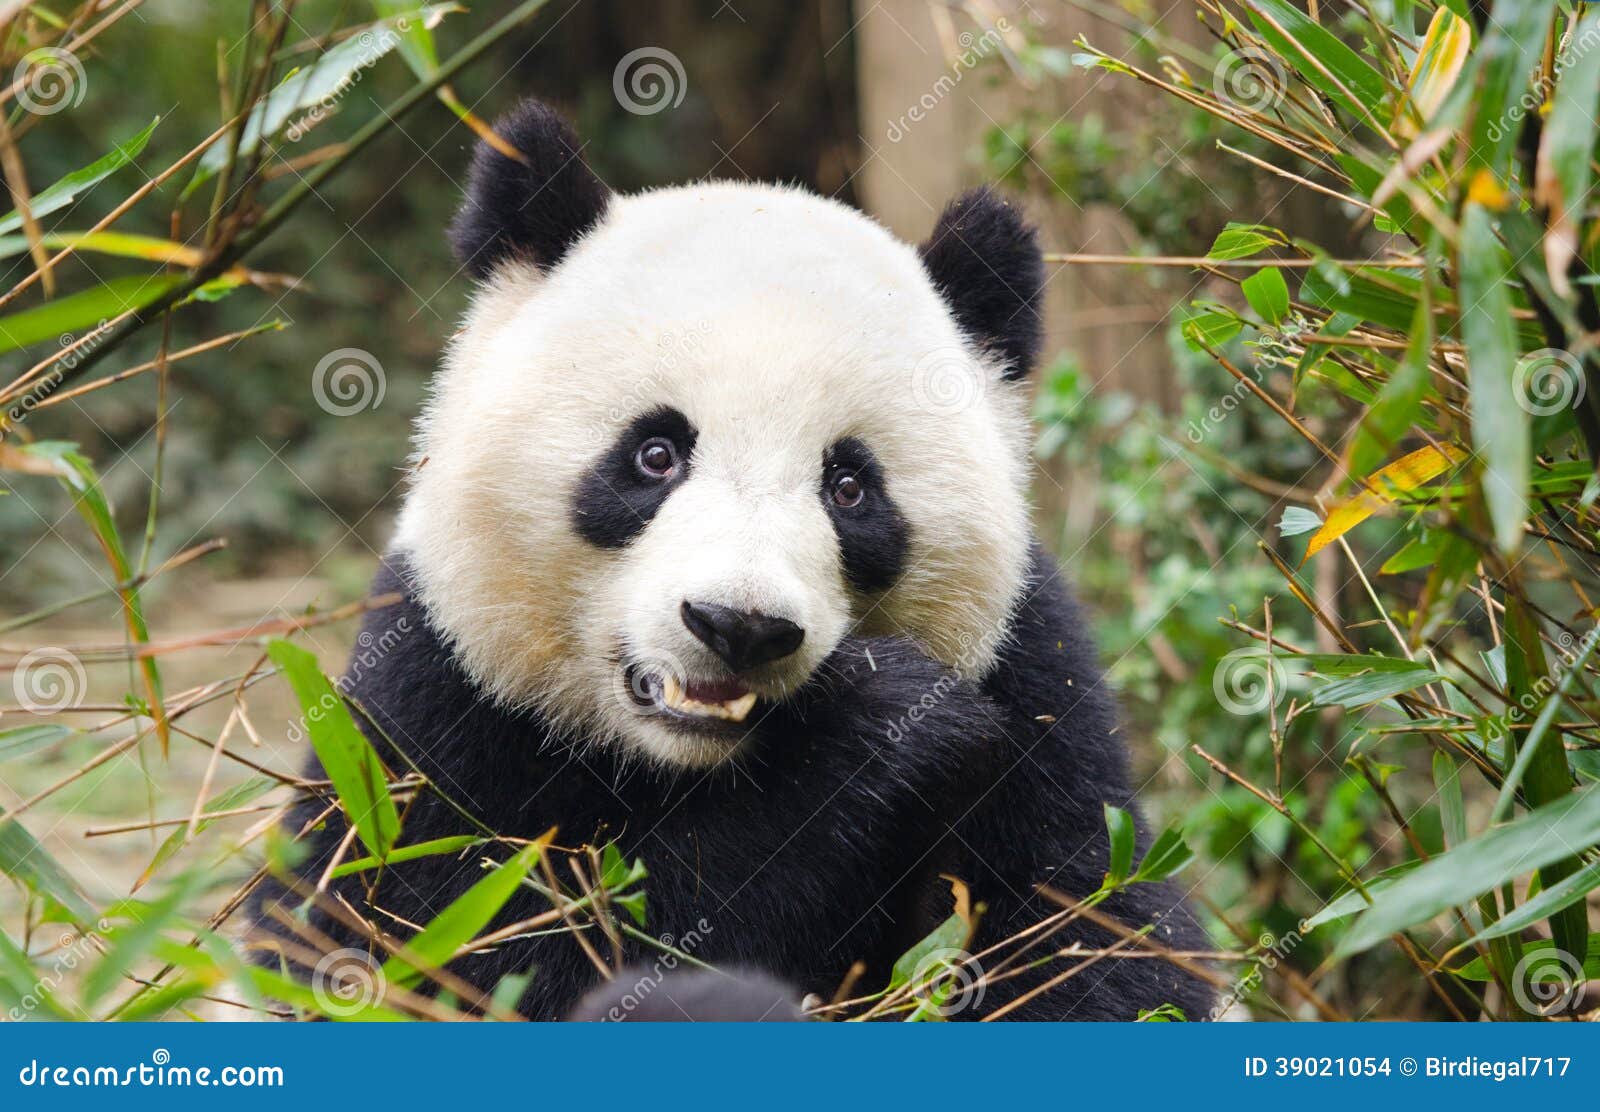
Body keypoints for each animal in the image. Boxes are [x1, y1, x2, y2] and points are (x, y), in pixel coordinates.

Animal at [249, 98, 1214, 1022]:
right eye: (655, 454)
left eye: (849, 486)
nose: (738, 627)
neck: (687, 762)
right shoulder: (433, 700)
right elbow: (418, 941)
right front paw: (879, 724)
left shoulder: (1038, 691)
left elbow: (1099, 942)